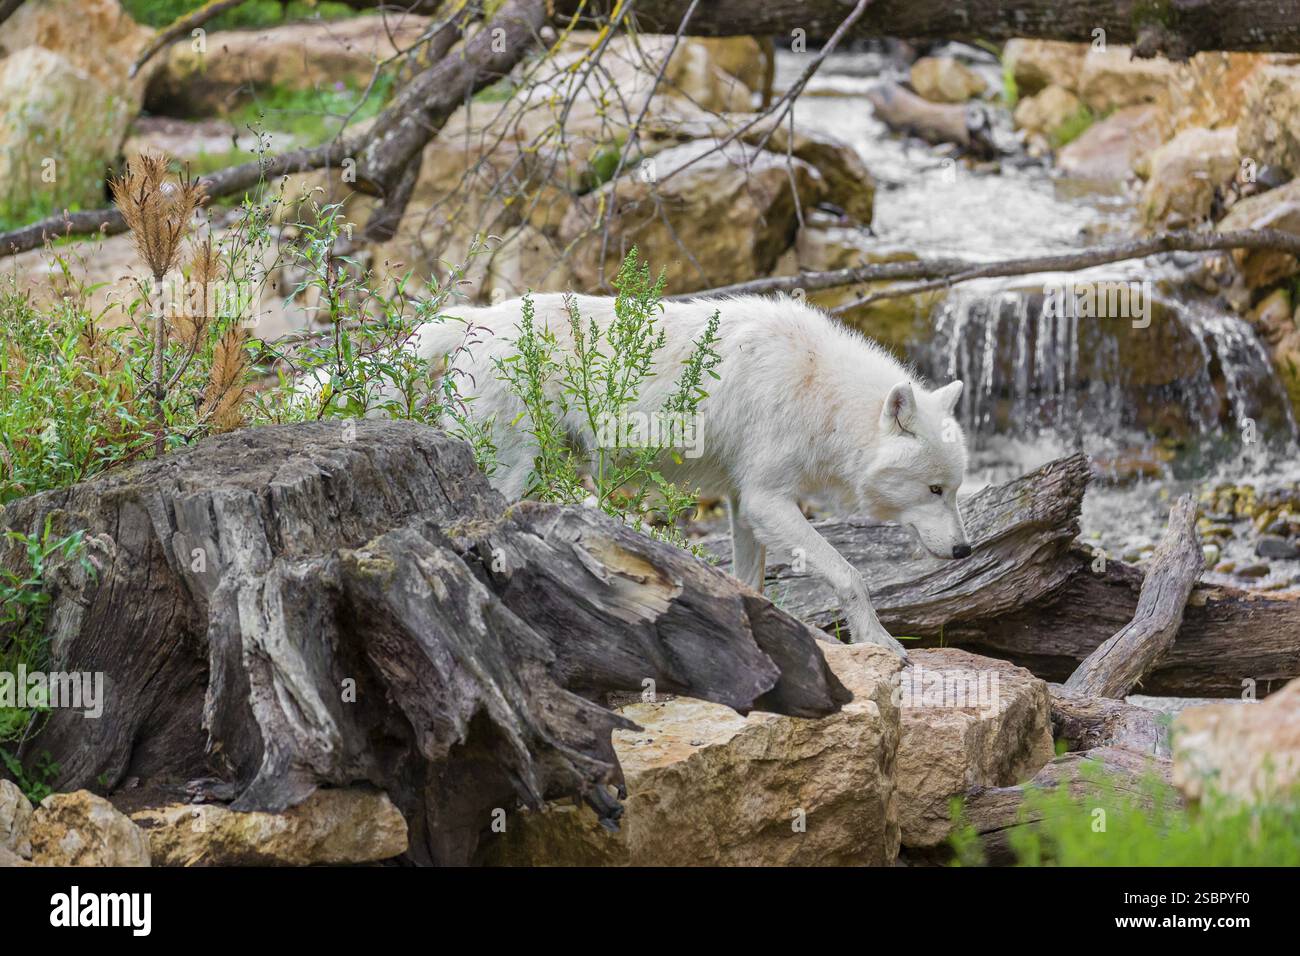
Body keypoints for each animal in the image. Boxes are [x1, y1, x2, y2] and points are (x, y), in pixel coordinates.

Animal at [413, 293, 972, 657]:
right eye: (934, 490)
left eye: (955, 491)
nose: (965, 550)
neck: (821, 390)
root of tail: (477, 316)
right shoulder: (768, 499)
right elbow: (850, 575)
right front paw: (879, 641)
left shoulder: (745, 505)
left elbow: (751, 582)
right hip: (515, 470)